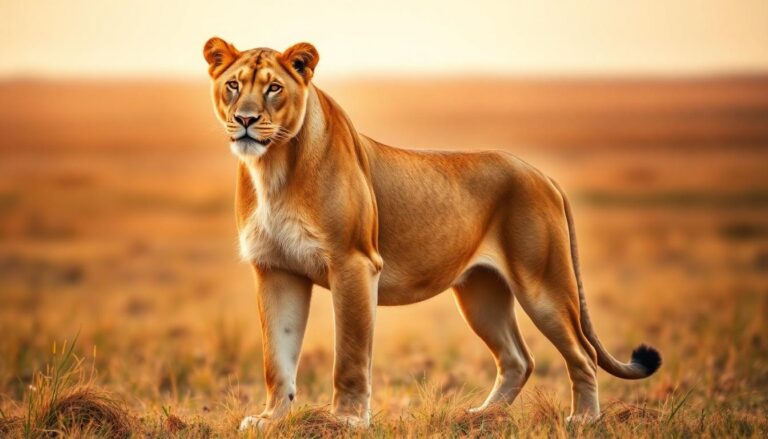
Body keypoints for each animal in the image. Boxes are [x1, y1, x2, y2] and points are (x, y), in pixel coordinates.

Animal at [202, 38, 661, 430]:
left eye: (274, 88)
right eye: (233, 85)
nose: (245, 120)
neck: (273, 167)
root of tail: (542, 174)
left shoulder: (354, 263)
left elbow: (349, 355)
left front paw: (346, 421)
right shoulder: (276, 269)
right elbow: (277, 358)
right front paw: (271, 419)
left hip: (544, 285)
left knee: (582, 353)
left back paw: (583, 419)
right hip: (481, 292)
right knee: (519, 359)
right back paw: (482, 417)